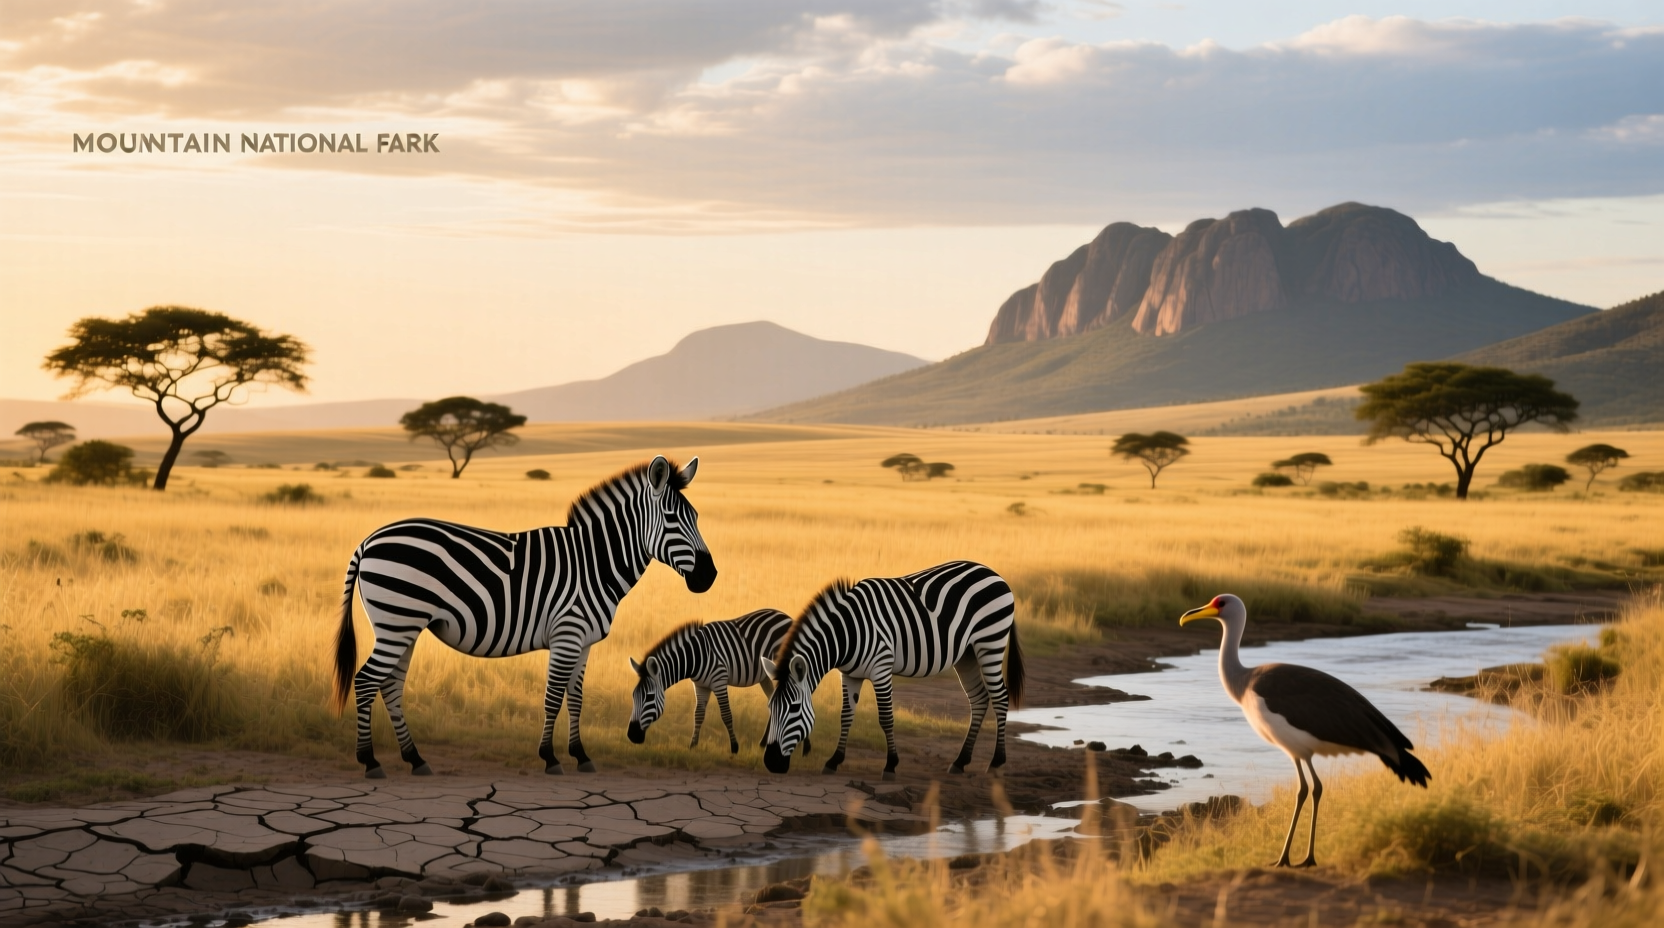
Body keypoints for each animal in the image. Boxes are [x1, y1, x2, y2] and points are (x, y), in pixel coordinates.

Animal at [331, 455, 716, 778]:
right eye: (672, 519)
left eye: (697, 518)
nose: (709, 576)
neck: (595, 563)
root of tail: (368, 542)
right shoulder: (566, 634)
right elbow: (553, 697)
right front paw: (550, 757)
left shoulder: (584, 642)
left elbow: (576, 698)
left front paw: (581, 755)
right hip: (397, 623)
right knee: (366, 681)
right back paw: (370, 762)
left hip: (402, 627)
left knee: (390, 686)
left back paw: (415, 759)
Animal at [625, 608, 808, 755]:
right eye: (633, 696)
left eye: (649, 697)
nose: (631, 735)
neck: (695, 657)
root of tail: (787, 617)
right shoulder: (700, 685)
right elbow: (698, 715)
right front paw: (693, 745)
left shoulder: (719, 681)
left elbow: (726, 714)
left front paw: (734, 747)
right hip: (765, 676)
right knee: (773, 701)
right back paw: (764, 743)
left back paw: (805, 747)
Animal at [760, 560, 1023, 780]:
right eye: (770, 707)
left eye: (794, 708)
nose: (771, 763)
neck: (847, 633)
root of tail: (994, 573)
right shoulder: (850, 674)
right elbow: (846, 716)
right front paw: (834, 761)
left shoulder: (881, 668)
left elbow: (886, 718)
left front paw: (890, 765)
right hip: (967, 655)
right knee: (978, 699)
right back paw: (960, 761)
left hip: (990, 643)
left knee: (1000, 697)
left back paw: (996, 762)